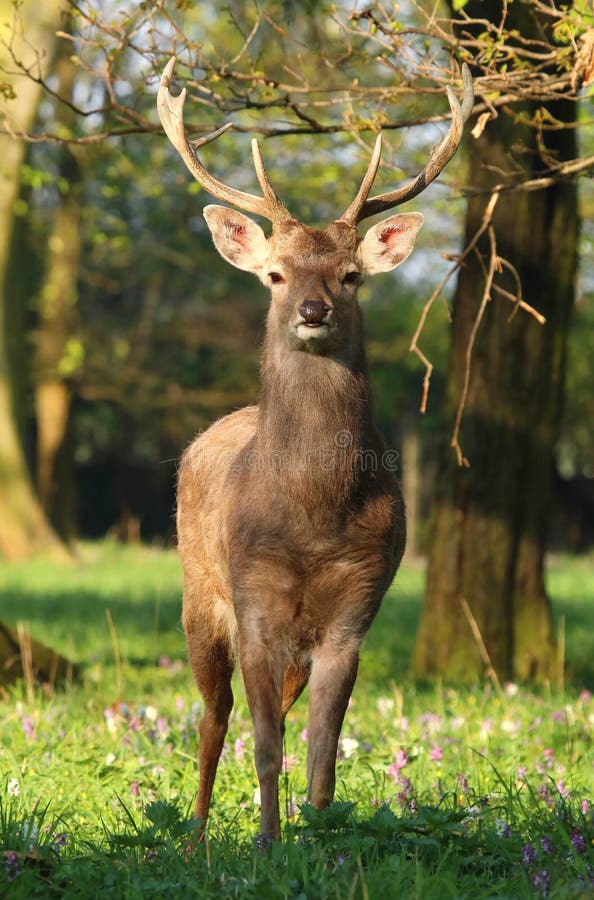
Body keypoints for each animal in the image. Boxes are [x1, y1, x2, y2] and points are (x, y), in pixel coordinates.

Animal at [157, 58, 473, 841]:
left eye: (350, 275)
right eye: (275, 273)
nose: (312, 309)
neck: (313, 519)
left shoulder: (355, 612)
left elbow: (321, 753)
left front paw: (319, 834)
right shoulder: (254, 605)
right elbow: (265, 744)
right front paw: (268, 843)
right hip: (197, 591)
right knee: (213, 718)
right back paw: (198, 831)